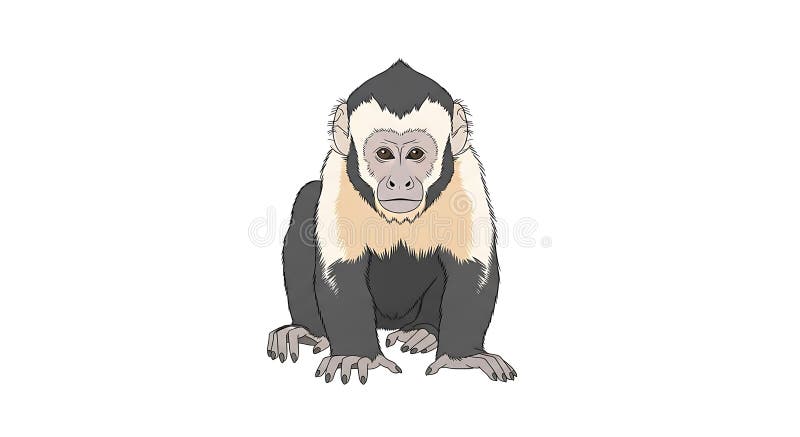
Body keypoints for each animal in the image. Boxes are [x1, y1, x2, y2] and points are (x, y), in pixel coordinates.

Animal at [267, 60, 515, 384]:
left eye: (415, 154)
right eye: (384, 154)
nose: (400, 182)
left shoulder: (466, 172)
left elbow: (470, 269)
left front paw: (463, 356)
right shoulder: (338, 172)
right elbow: (341, 272)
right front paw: (356, 355)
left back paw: (424, 331)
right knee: (308, 196)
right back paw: (310, 331)